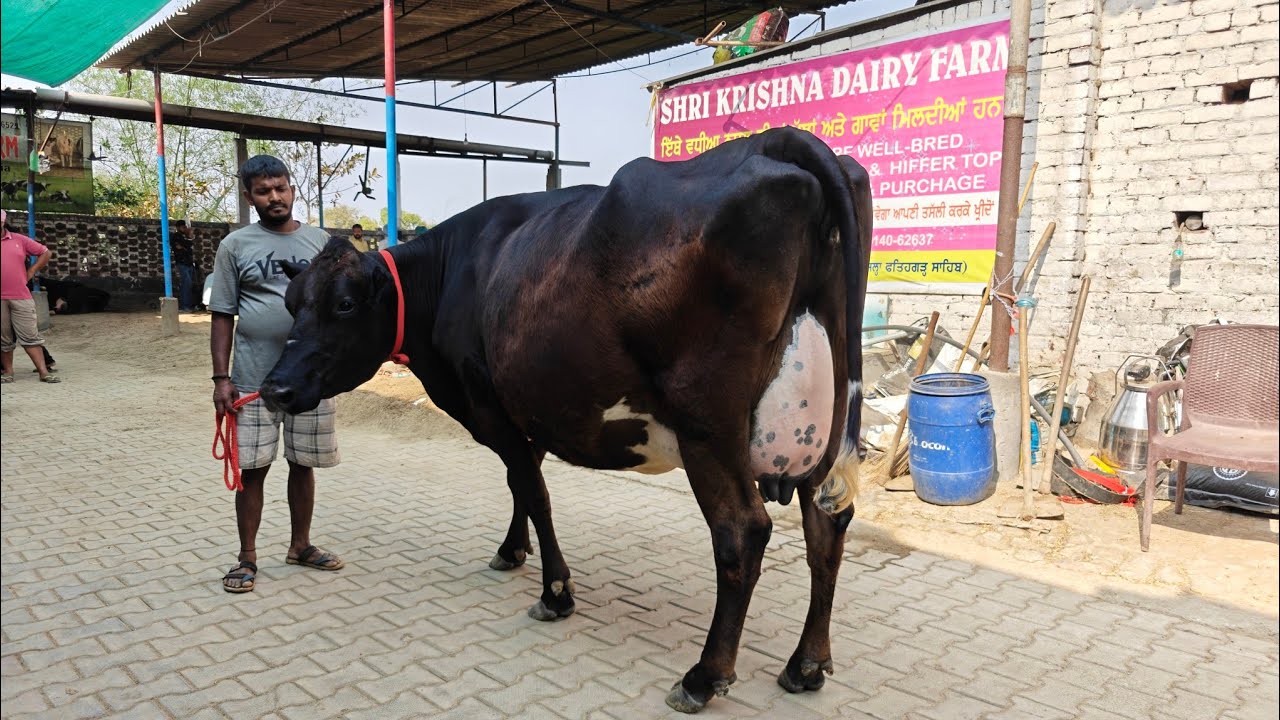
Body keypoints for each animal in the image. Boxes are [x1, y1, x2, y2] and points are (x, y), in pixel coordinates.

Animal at [260, 127, 872, 713]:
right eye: (290, 302)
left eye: (344, 304)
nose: (274, 388)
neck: (453, 274)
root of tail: (778, 138)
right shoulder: (521, 409)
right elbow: (520, 483)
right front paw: (512, 552)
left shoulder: (489, 404)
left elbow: (534, 492)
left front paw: (555, 592)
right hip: (823, 418)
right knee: (828, 524)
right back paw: (806, 664)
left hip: (707, 425)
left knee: (742, 532)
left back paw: (703, 677)